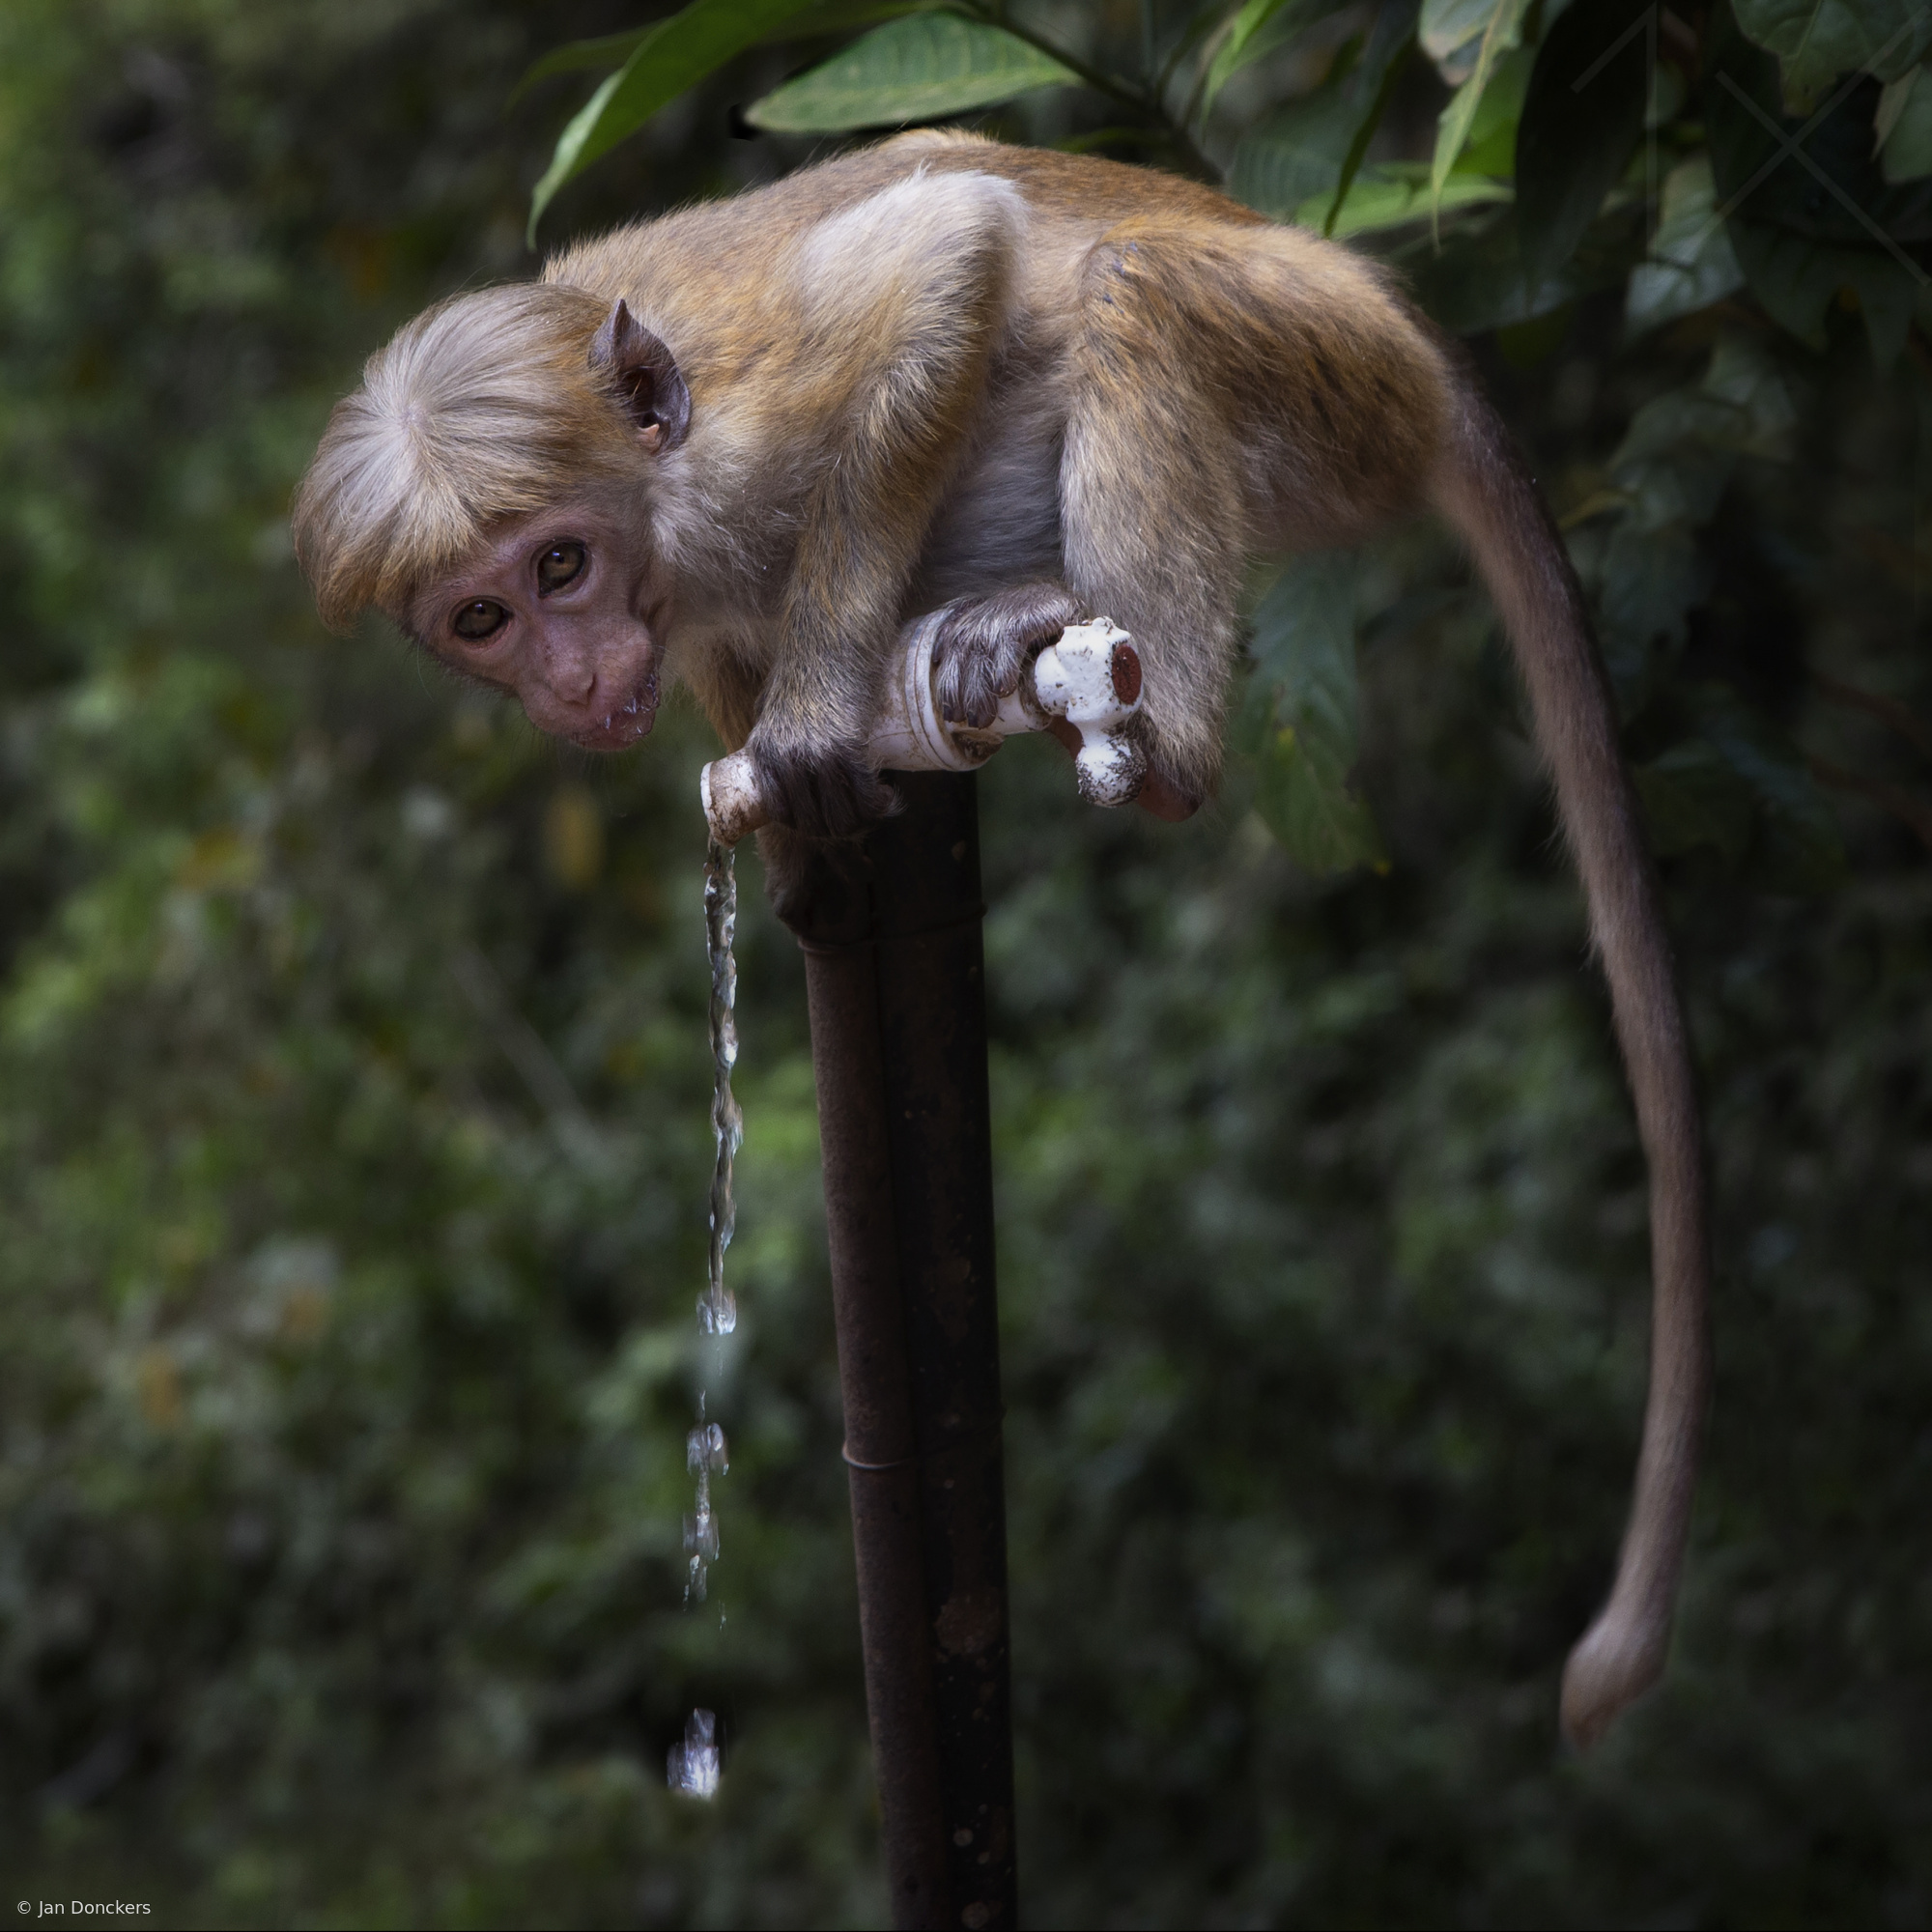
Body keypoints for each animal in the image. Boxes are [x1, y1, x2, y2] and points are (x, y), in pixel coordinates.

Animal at [292, 130, 1707, 1751]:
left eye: (560, 570)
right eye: (482, 616)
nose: (573, 678)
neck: (658, 521)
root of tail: (1411, 336)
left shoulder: (740, 451)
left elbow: (943, 252)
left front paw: (812, 713)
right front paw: (805, 864)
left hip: (1333, 378)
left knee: (1133, 292)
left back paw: (1142, 720)